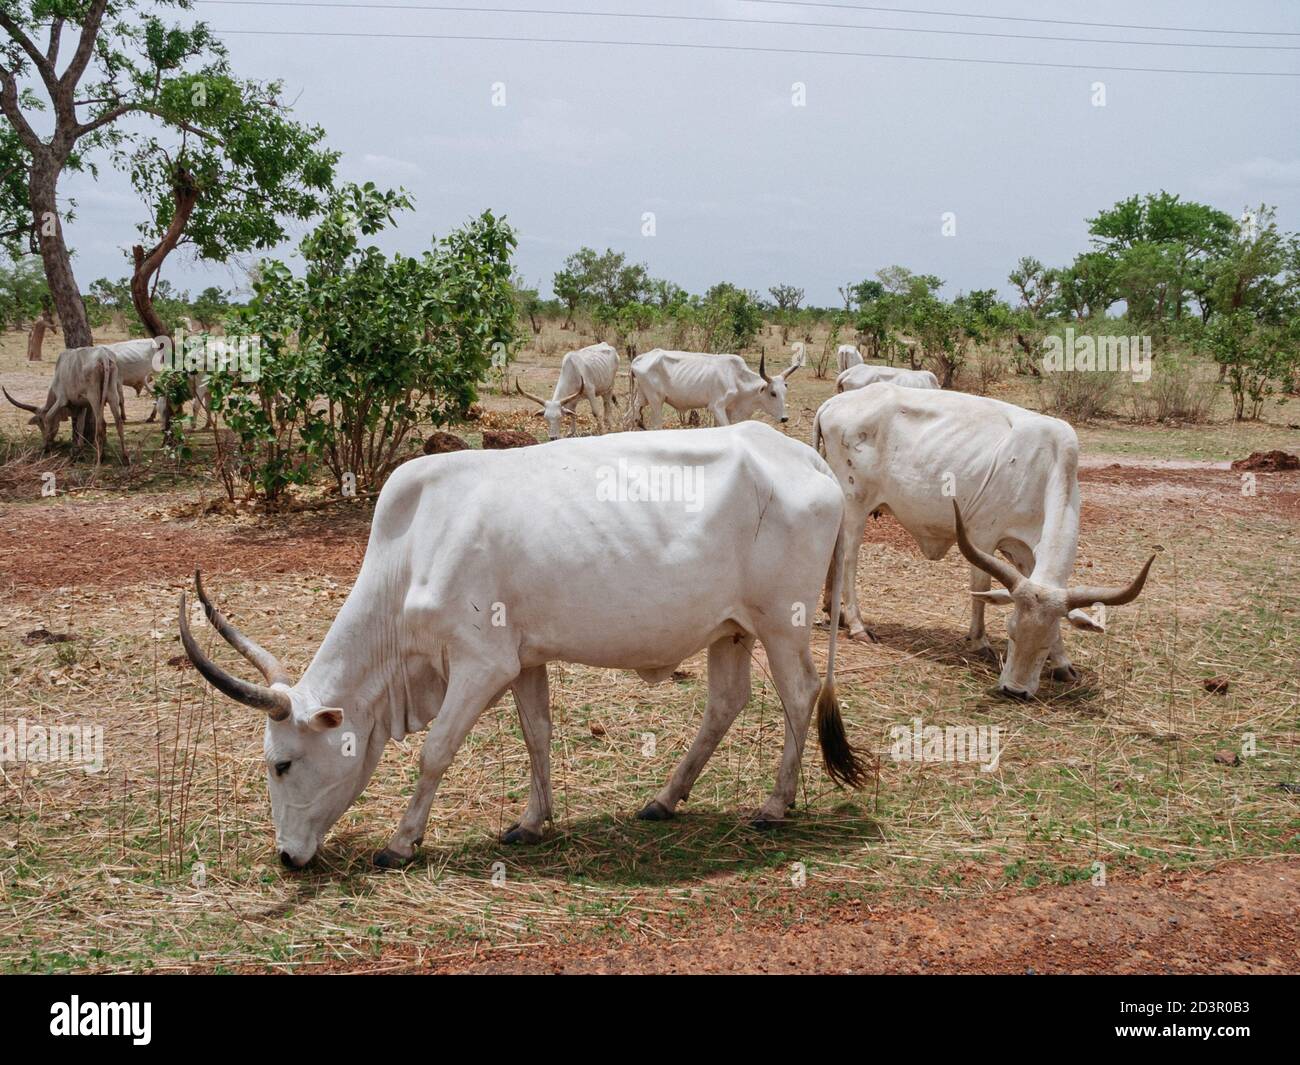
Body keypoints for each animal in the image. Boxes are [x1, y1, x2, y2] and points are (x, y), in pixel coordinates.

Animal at [178, 422, 869, 869]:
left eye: (281, 764)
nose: (286, 857)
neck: (413, 551)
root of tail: (806, 458)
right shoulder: (524, 660)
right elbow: (537, 733)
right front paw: (532, 822)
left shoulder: (481, 664)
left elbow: (435, 751)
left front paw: (402, 842)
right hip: (731, 629)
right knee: (726, 701)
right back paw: (665, 799)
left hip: (782, 623)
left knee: (800, 694)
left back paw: (775, 805)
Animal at [625, 349, 798, 430]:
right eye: (773, 393)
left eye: (785, 392)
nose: (785, 418)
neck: (736, 378)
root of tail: (638, 359)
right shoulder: (717, 407)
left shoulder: (727, 410)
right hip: (656, 401)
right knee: (655, 426)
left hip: (642, 398)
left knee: (628, 417)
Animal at [810, 384, 1154, 699]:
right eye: (1011, 634)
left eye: (1044, 645)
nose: (1015, 691)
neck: (1047, 466)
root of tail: (834, 402)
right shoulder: (982, 535)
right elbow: (981, 588)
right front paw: (980, 642)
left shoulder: (1027, 554)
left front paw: (1062, 663)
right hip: (855, 504)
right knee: (848, 559)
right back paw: (857, 624)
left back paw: (833, 612)